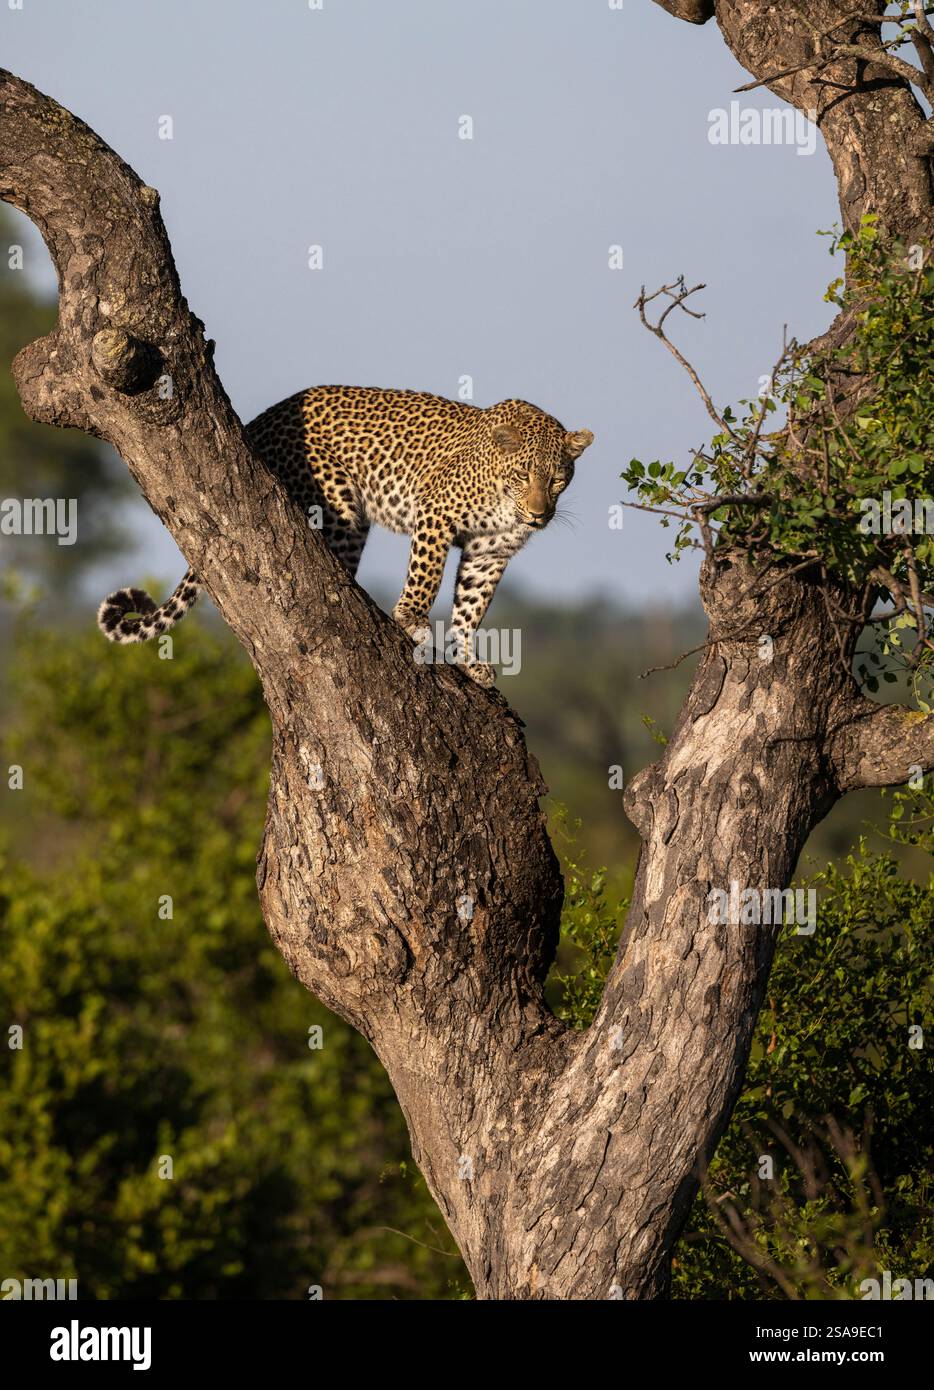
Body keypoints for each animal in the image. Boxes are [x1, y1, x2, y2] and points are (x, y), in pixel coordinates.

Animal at [97, 385, 594, 685]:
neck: (504, 499)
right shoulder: (436, 514)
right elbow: (426, 578)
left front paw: (469, 659)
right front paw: (411, 619)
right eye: (523, 475)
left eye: (556, 480)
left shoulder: (489, 552)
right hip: (337, 504)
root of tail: (258, 421)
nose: (539, 515)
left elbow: (471, 608)